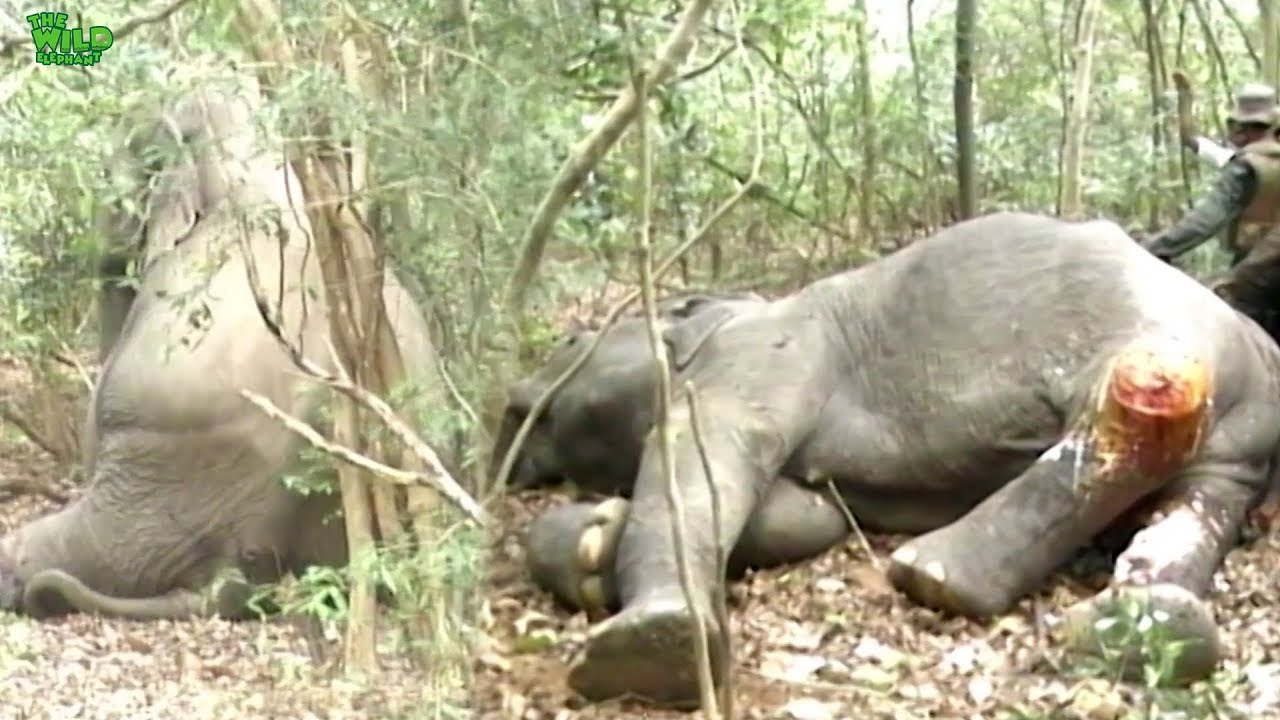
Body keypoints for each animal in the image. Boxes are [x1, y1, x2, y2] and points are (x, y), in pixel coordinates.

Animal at [493, 211, 1280, 709]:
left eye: (572, 344)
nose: (511, 408)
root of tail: (1261, 350)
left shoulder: (762, 352)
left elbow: (708, 444)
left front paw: (654, 644)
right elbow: (810, 517)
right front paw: (589, 542)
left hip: (1145, 331)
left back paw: (933, 575)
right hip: (1236, 446)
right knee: (1193, 505)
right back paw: (1140, 624)